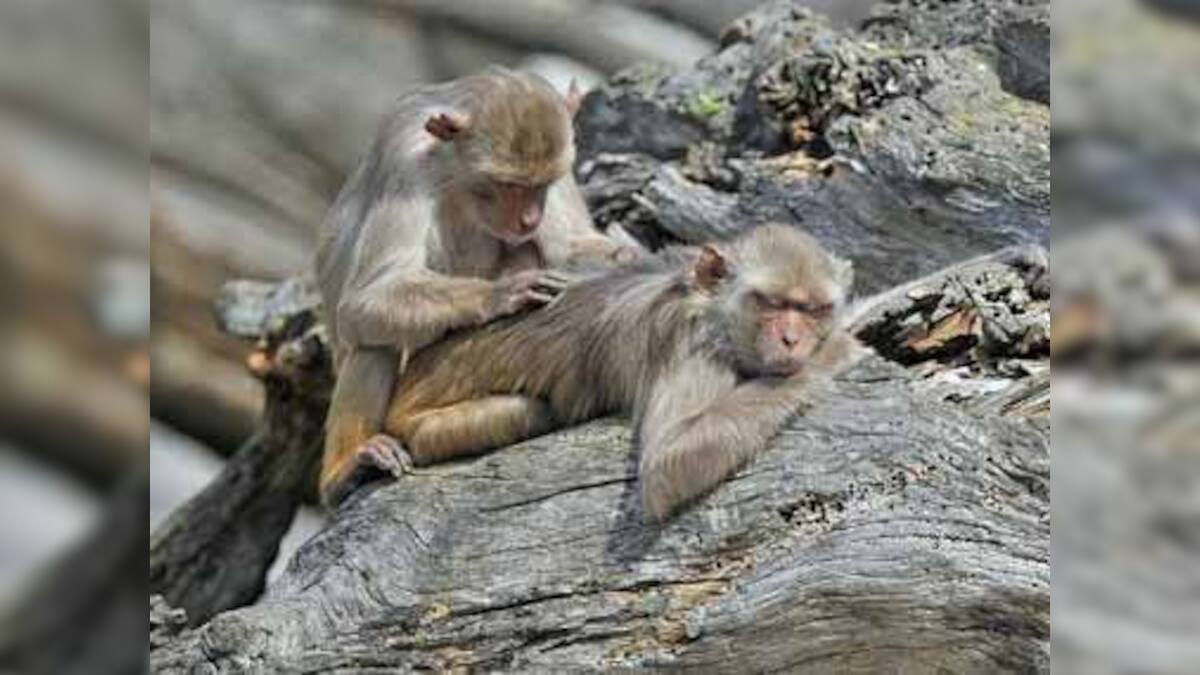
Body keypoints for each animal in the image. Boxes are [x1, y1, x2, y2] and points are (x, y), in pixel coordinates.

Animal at [316, 67, 636, 508]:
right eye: (510, 185)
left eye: (541, 185)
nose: (530, 218)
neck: (457, 178)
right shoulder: (405, 164)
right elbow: (366, 299)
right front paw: (505, 294)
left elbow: (570, 245)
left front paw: (622, 256)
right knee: (373, 344)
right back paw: (345, 470)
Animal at [378, 223, 864, 521]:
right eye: (771, 303)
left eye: (813, 309)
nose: (792, 339)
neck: (712, 309)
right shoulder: (691, 346)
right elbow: (668, 464)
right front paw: (837, 351)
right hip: (426, 428)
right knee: (532, 409)